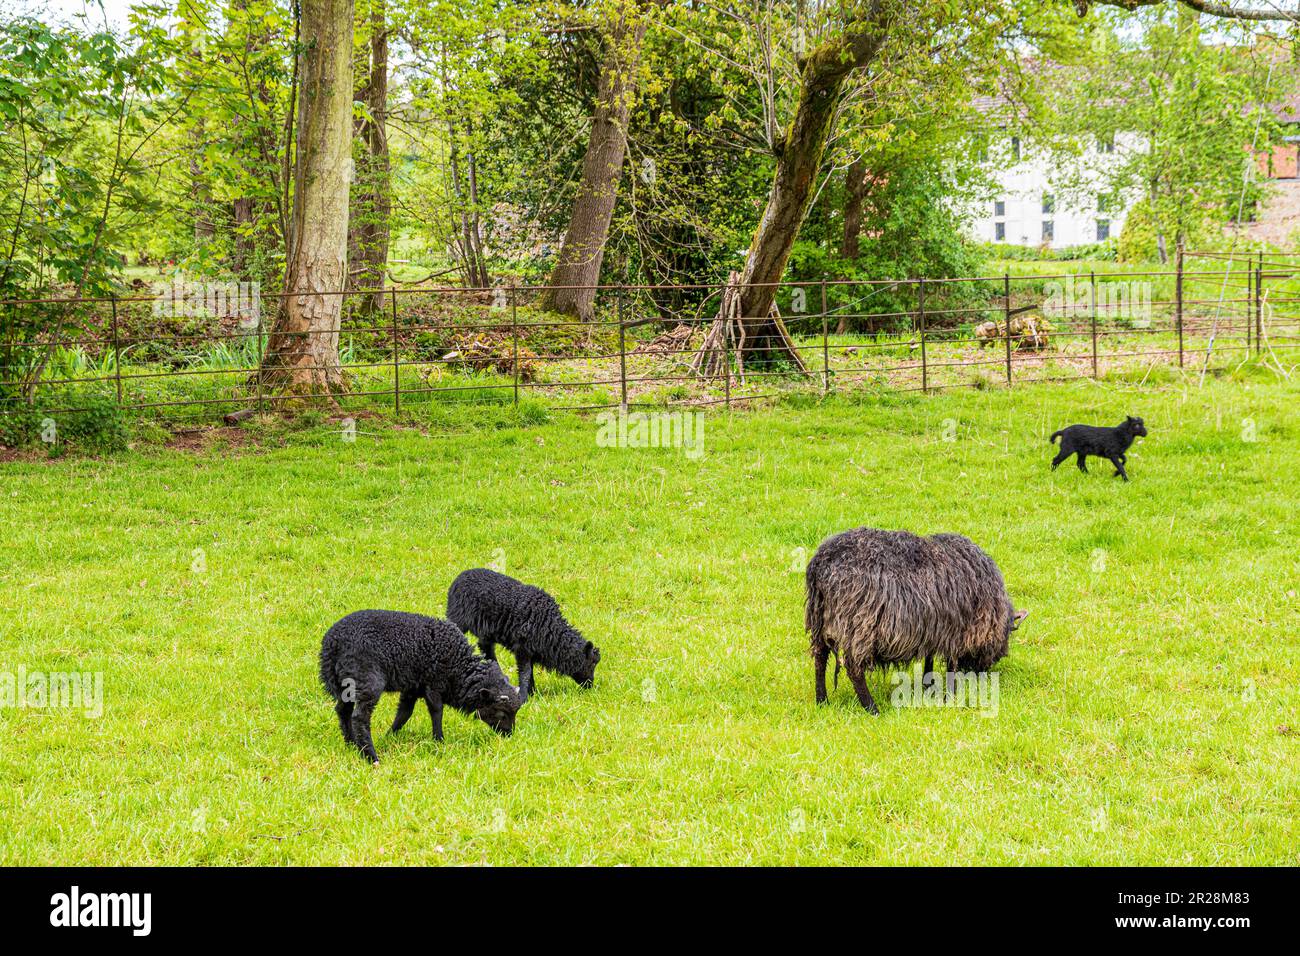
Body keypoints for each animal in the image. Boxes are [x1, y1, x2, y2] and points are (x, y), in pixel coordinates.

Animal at [319, 609, 522, 764]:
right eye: (501, 713)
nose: (509, 735)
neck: (457, 667)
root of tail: (332, 645)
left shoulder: (413, 687)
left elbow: (404, 713)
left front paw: (390, 735)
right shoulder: (433, 683)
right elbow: (436, 710)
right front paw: (439, 740)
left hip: (344, 685)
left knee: (342, 711)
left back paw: (351, 744)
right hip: (367, 680)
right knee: (359, 717)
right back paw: (371, 757)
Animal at [447, 568, 600, 702]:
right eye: (592, 663)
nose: (590, 686)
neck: (551, 629)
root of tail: (459, 578)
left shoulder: (530, 651)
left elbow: (530, 673)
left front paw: (532, 693)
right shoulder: (522, 649)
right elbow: (525, 673)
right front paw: (524, 697)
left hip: (486, 631)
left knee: (486, 647)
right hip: (457, 618)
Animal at [805, 528, 1026, 713]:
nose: (980, 673)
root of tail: (820, 564)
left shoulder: (933, 626)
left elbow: (929, 657)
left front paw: (928, 685)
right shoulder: (955, 631)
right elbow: (951, 664)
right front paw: (951, 694)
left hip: (819, 620)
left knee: (820, 658)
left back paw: (822, 701)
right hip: (859, 624)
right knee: (853, 668)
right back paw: (872, 708)